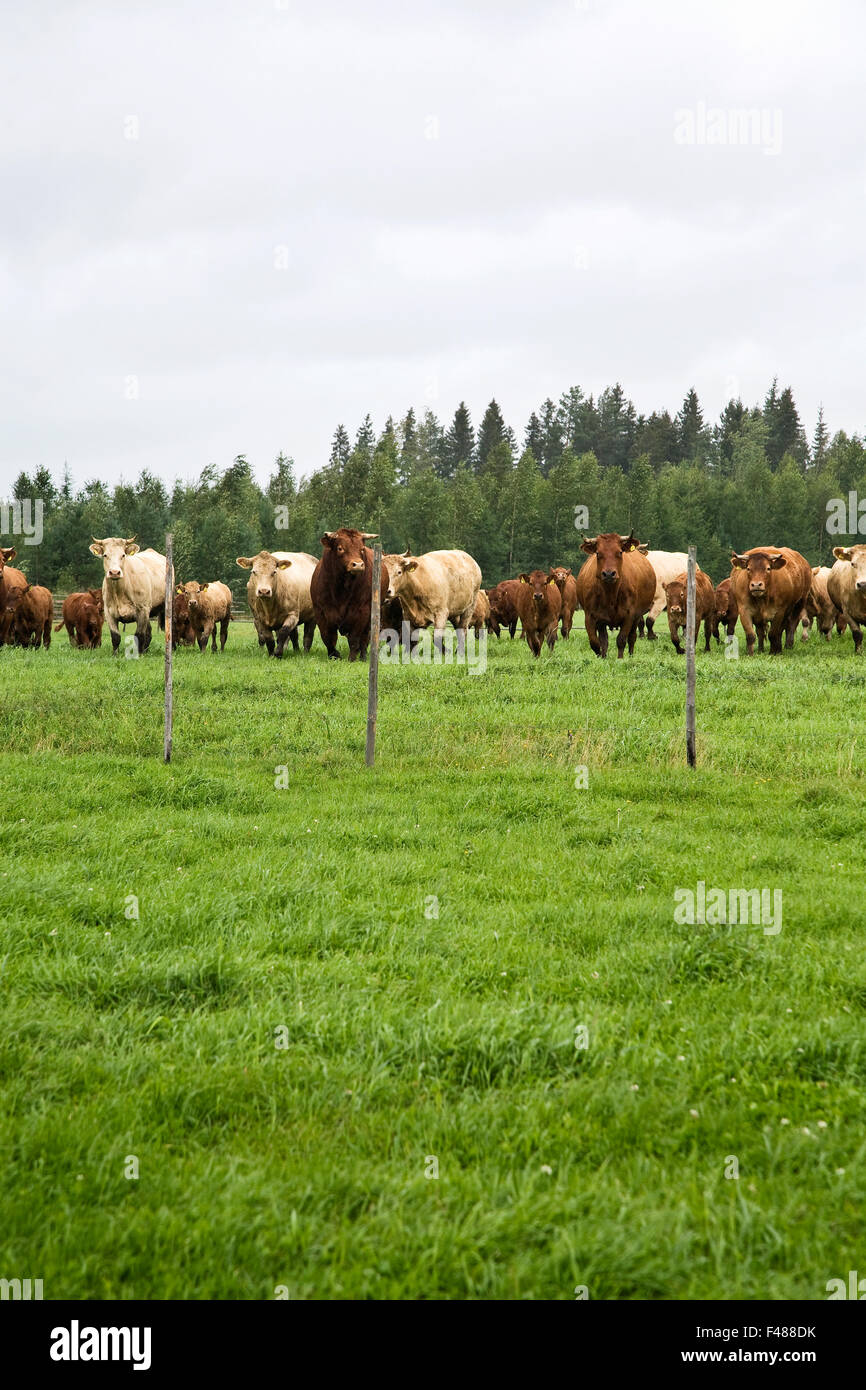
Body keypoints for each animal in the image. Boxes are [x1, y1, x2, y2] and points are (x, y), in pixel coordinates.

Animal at [310, 529, 388, 660]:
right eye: (340, 548)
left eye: (362, 549)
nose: (358, 564)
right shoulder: (320, 611)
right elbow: (328, 637)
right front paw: (334, 655)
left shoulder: (362, 611)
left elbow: (354, 639)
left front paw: (351, 658)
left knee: (365, 638)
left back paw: (363, 656)